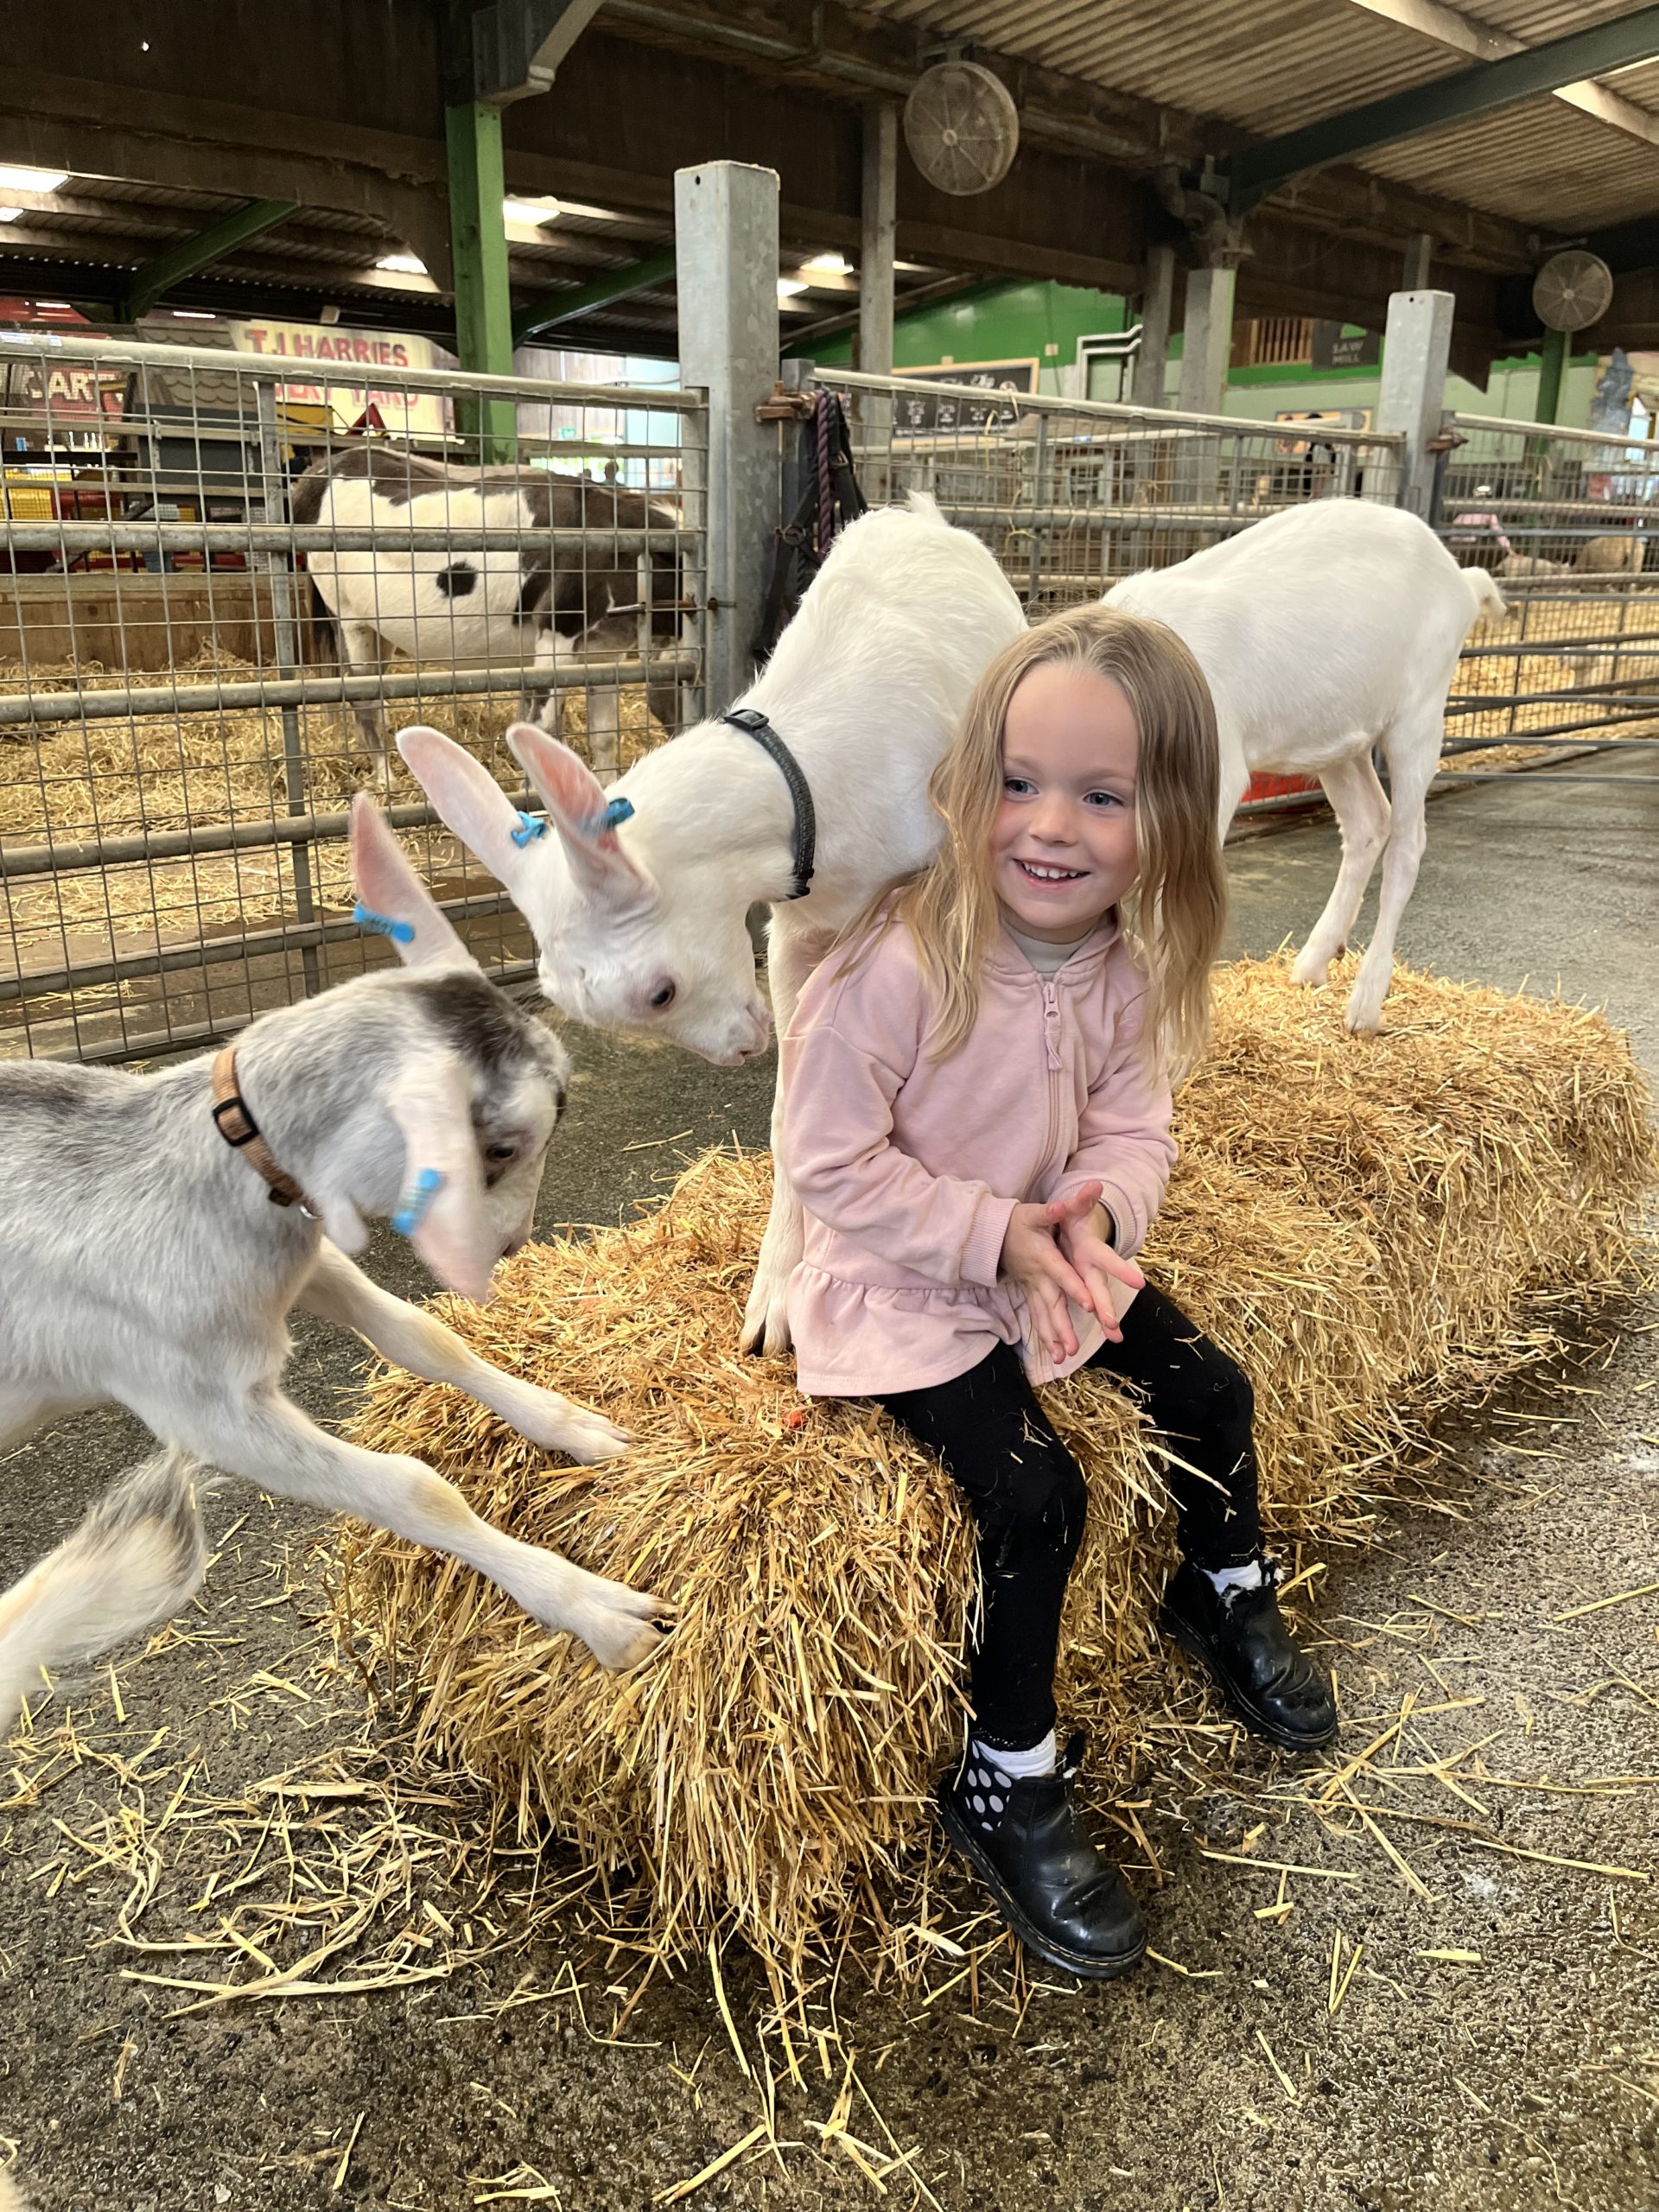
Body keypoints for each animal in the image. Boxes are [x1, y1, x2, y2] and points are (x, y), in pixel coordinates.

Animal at [0, 798, 666, 1737]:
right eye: (499, 1147)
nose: (508, 1248)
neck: (197, 1163)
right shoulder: (203, 1404)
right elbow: (411, 1490)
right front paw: (596, 1610)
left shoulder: (301, 1254)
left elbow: (427, 1338)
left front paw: (574, 1424)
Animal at [293, 444, 684, 785]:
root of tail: (324, 467)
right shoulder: (556, 633)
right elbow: (542, 728)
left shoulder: (606, 653)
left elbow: (604, 738)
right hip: (347, 616)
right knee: (364, 699)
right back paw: (386, 781)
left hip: (381, 631)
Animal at [395, 493, 1027, 1357]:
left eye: (659, 992)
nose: (739, 1051)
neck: (818, 772)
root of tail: (920, 513)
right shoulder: (798, 928)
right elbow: (801, 1110)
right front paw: (780, 1298)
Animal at [1104, 498, 1505, 1034]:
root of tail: (1461, 577)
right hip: (1339, 739)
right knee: (1368, 823)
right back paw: (1313, 963)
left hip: (1419, 714)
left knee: (1407, 843)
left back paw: (1365, 1003)